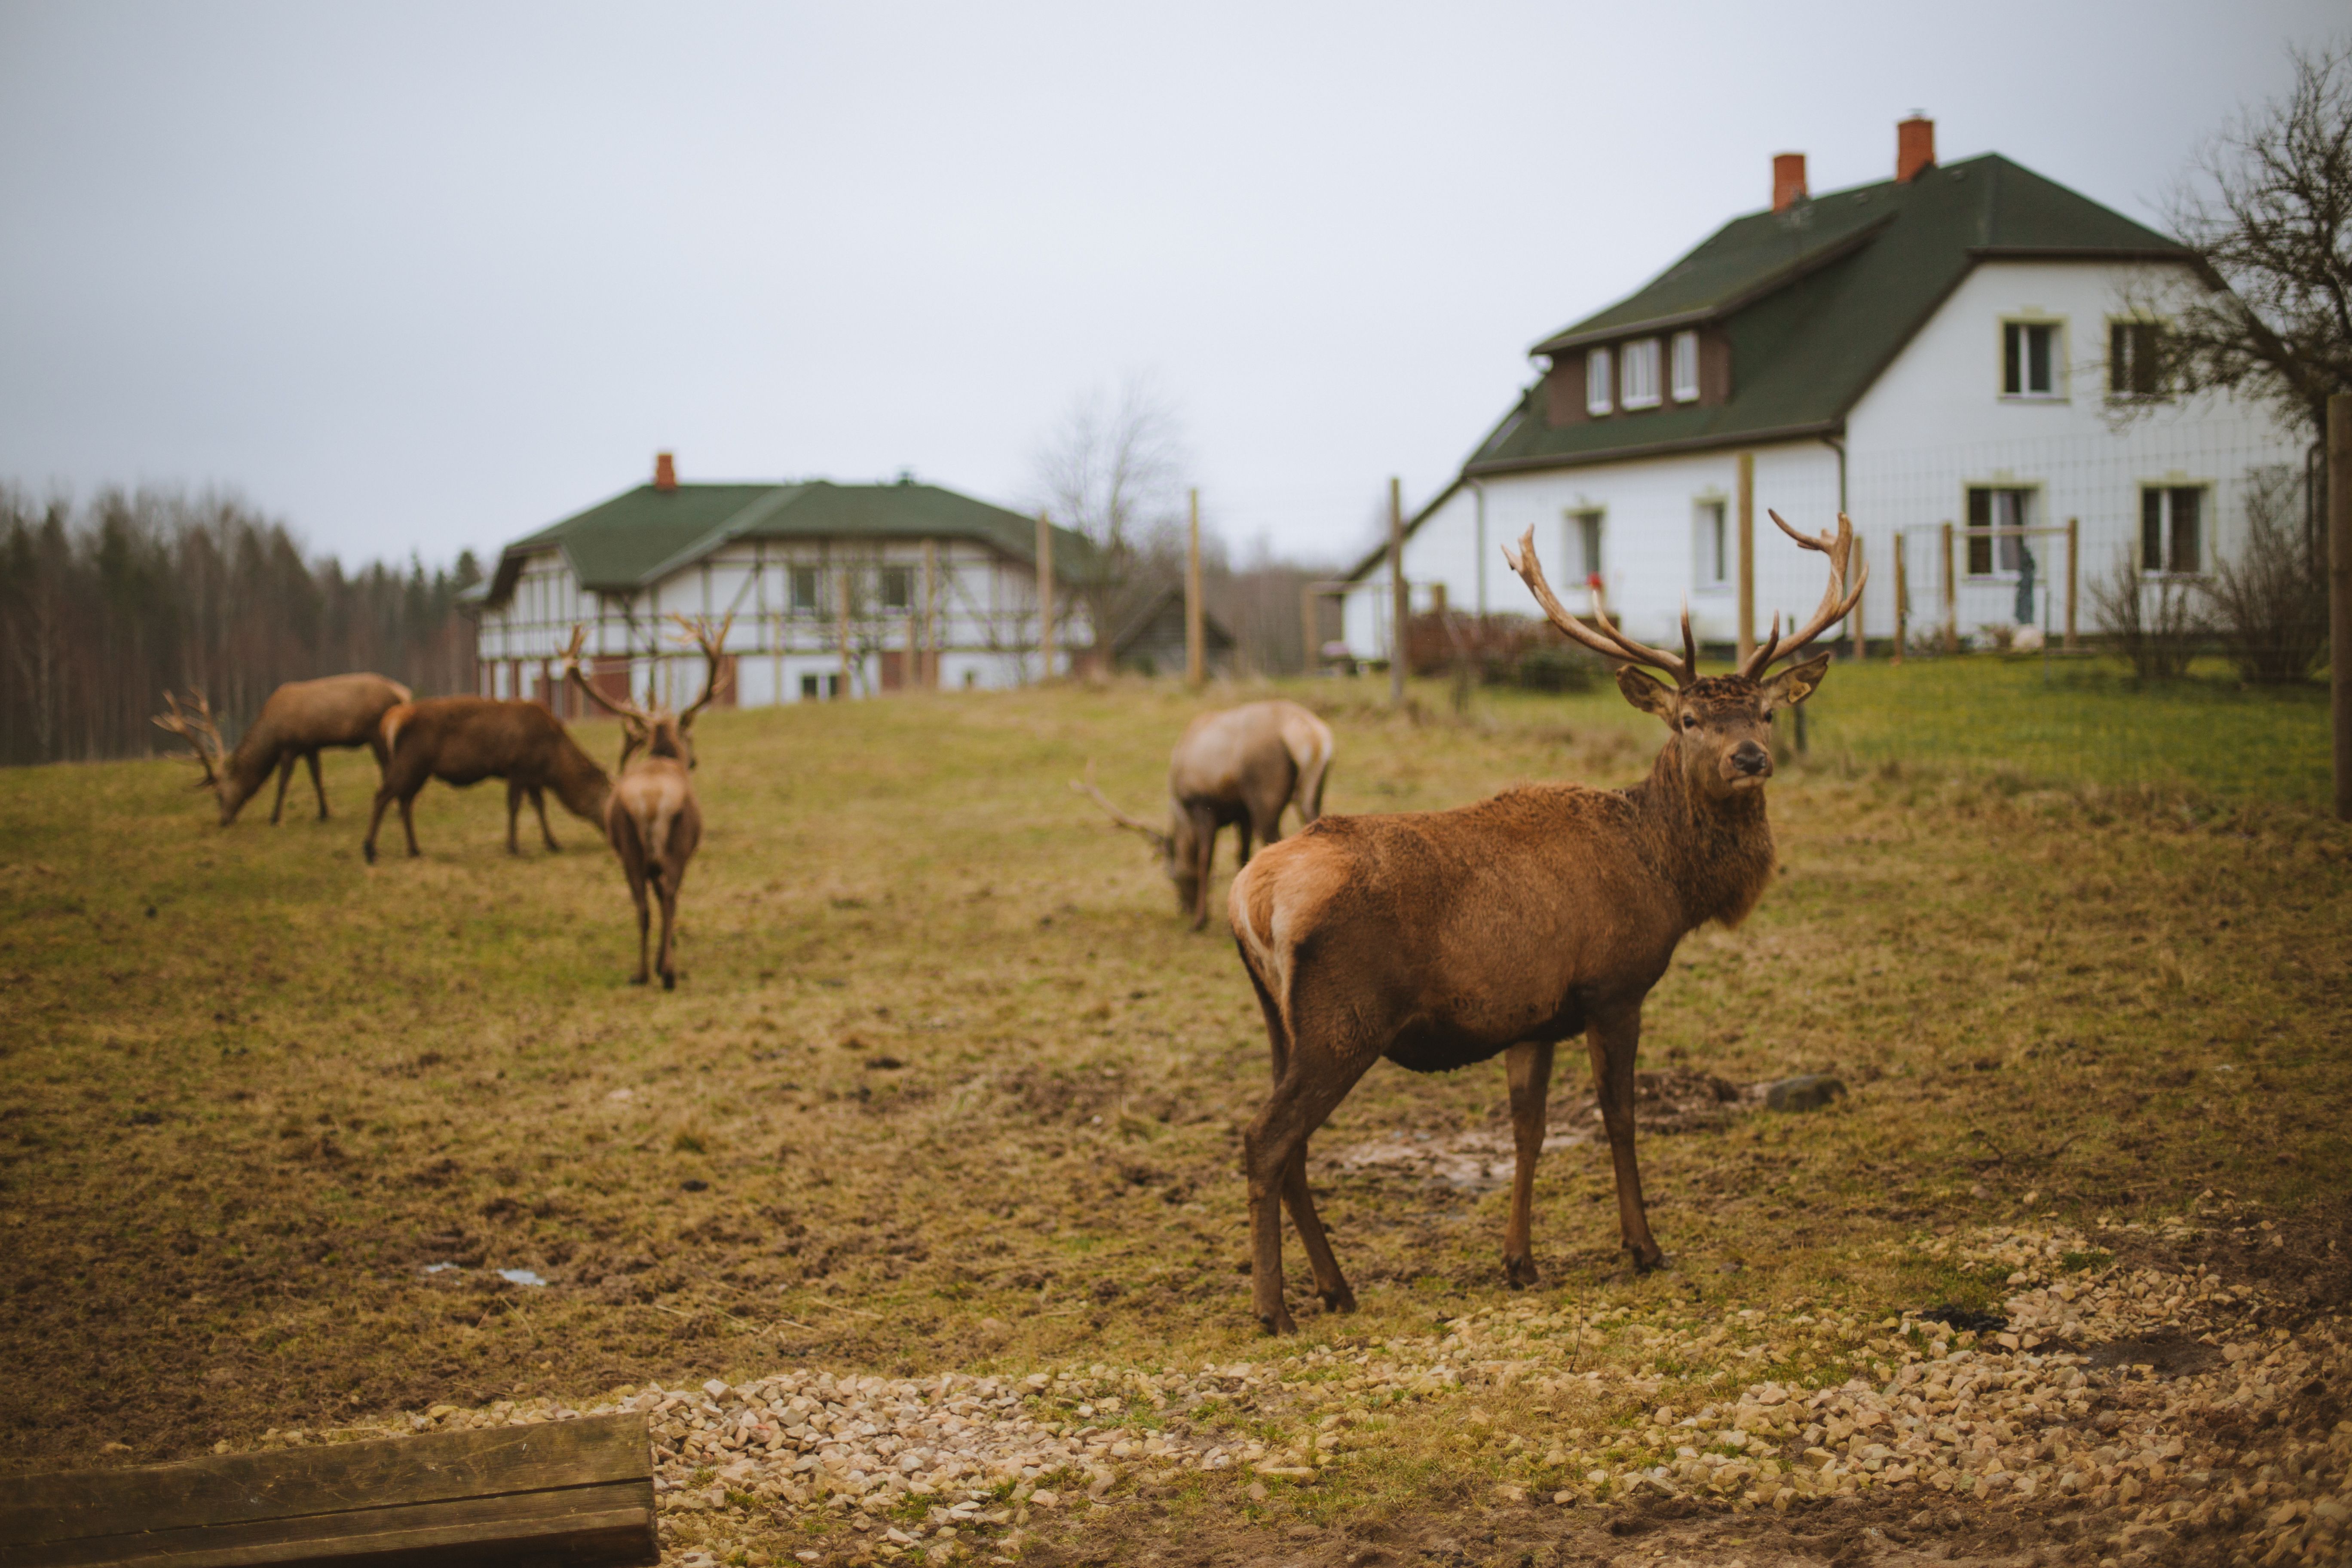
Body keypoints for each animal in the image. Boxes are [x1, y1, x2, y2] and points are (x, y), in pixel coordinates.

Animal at [152, 675, 412, 825]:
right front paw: (324, 813)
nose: (224, 821)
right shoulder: (310, 745)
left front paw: (275, 817)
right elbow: (317, 777)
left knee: (388, 766)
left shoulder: (290, 746)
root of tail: (404, 694)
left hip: (376, 733)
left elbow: (282, 782)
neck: (272, 734)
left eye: (219, 795)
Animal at [361, 691, 611, 865]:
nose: (611, 828)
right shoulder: (517, 769)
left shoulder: (532, 776)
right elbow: (514, 806)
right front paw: (513, 847)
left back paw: (414, 850)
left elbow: (540, 806)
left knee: (405, 802)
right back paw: (370, 850)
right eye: (605, 795)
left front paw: (553, 843)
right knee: (383, 795)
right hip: (412, 762)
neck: (551, 761)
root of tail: (392, 720)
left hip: (419, 770)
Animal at [557, 616, 730, 988]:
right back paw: (668, 972)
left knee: (642, 906)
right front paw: (669, 955)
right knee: (669, 898)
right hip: (676, 847)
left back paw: (641, 972)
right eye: (689, 735)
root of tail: (650, 802)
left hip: (629, 850)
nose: (694, 760)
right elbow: (669, 900)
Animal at [1075, 698, 1335, 931]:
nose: (1183, 908)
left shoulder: (1204, 806)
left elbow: (1205, 860)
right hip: (1311, 794)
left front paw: (1201, 921)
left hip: (1265, 795)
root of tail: (1311, 735)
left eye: (1170, 875)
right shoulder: (1242, 813)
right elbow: (1242, 856)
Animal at [1225, 512, 1865, 1333]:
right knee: (1267, 1137)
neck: (1668, 876)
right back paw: (1274, 1309)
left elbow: (1527, 1131)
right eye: (1690, 719)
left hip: (1282, 1020)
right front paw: (1644, 1247)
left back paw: (1338, 1288)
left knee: (1293, 1143)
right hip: (1346, 1015)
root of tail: (1251, 894)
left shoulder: (1528, 1016)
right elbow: (1618, 1115)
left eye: (1765, 711)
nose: (1751, 758)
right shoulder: (1614, 986)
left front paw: (1519, 1262)